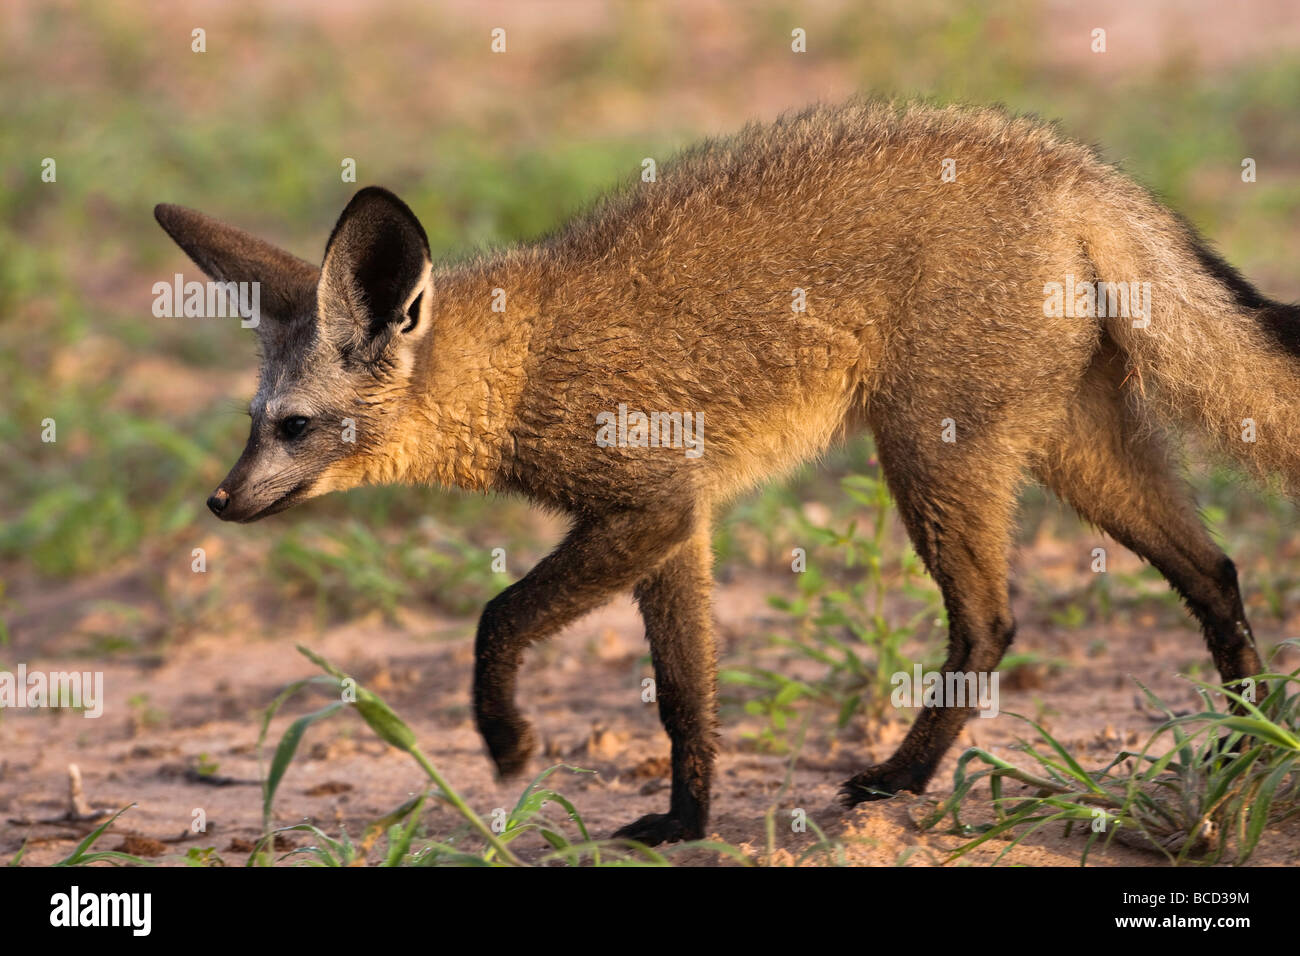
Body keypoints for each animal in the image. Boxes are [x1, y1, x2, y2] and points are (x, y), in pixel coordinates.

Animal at [155, 99, 1297, 846]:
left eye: (295, 427)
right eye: (254, 426)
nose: (219, 499)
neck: (521, 364)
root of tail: (1069, 164)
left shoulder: (648, 507)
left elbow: (495, 618)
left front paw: (508, 740)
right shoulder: (675, 524)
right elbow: (684, 698)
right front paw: (686, 820)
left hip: (930, 456)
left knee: (989, 622)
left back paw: (901, 778)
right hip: (1067, 453)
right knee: (1217, 572)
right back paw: (1248, 745)